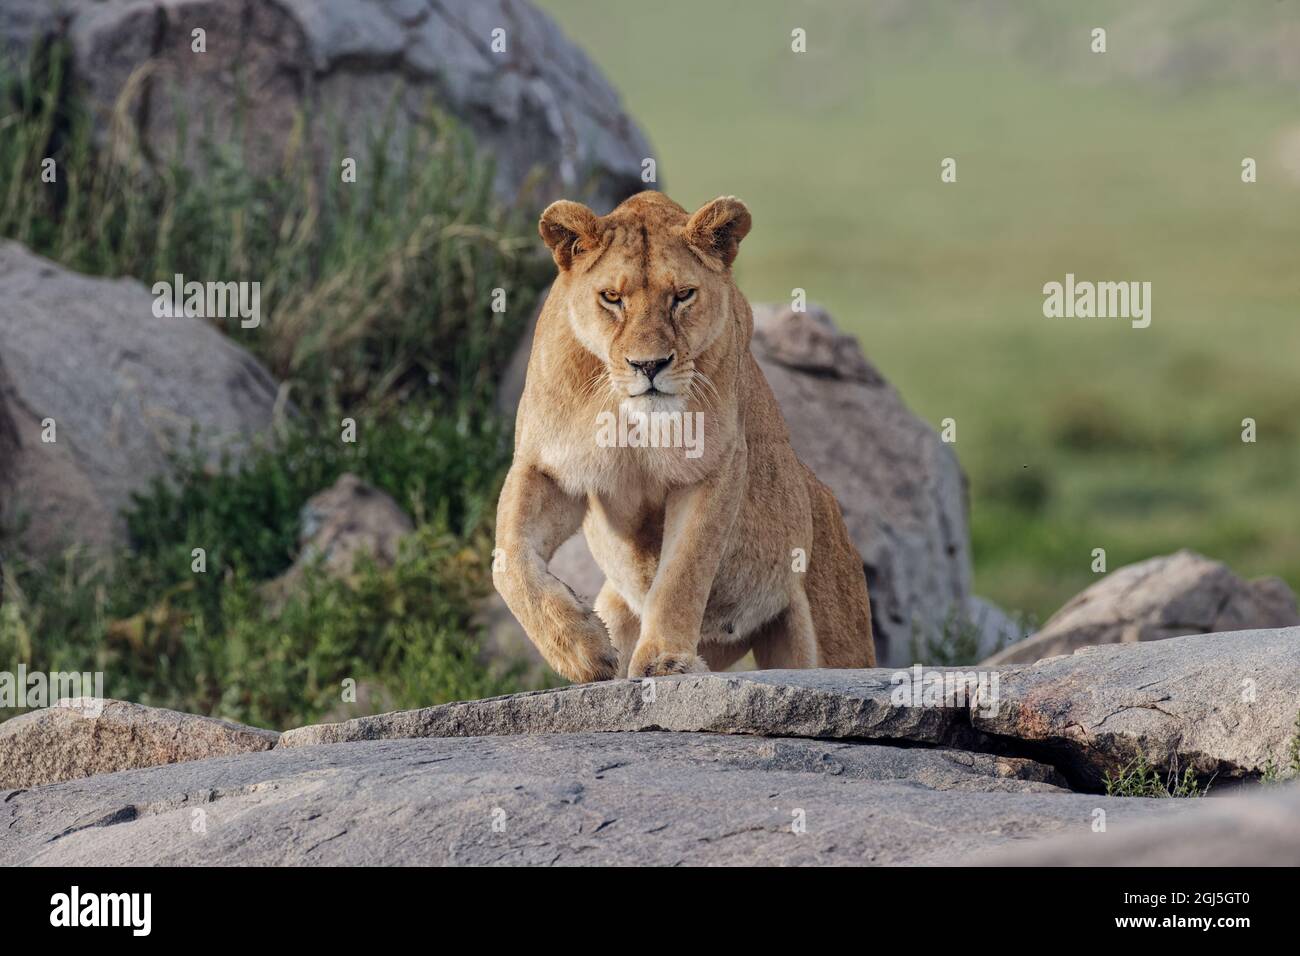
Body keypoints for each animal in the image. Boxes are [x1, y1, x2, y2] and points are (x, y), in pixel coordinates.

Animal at [493, 191, 875, 681]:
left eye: (683, 296)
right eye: (612, 298)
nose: (648, 365)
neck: (630, 418)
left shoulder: (714, 468)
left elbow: (683, 571)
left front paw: (665, 661)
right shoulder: (548, 467)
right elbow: (509, 560)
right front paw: (582, 650)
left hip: (833, 640)